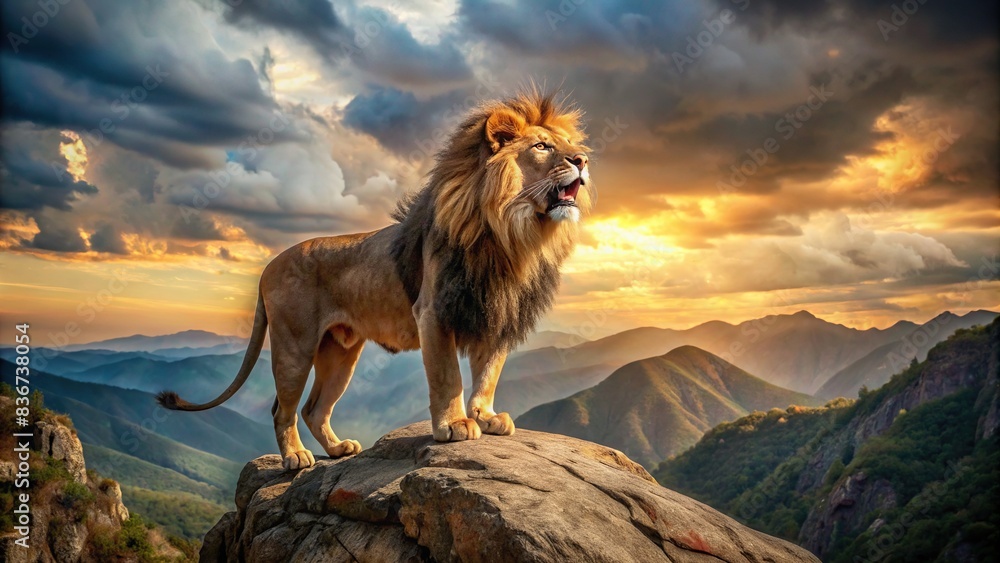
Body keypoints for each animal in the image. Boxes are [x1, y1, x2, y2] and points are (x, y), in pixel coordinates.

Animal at [157, 92, 593, 470]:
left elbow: (488, 373)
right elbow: (447, 376)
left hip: (340, 352)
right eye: (542, 147)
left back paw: (338, 449)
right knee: (283, 408)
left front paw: (485, 417)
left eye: (570, 145)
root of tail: (268, 265)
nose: (583, 159)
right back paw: (295, 457)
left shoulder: (498, 313)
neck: (512, 235)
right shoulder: (434, 312)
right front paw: (454, 426)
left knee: (314, 409)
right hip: (294, 344)